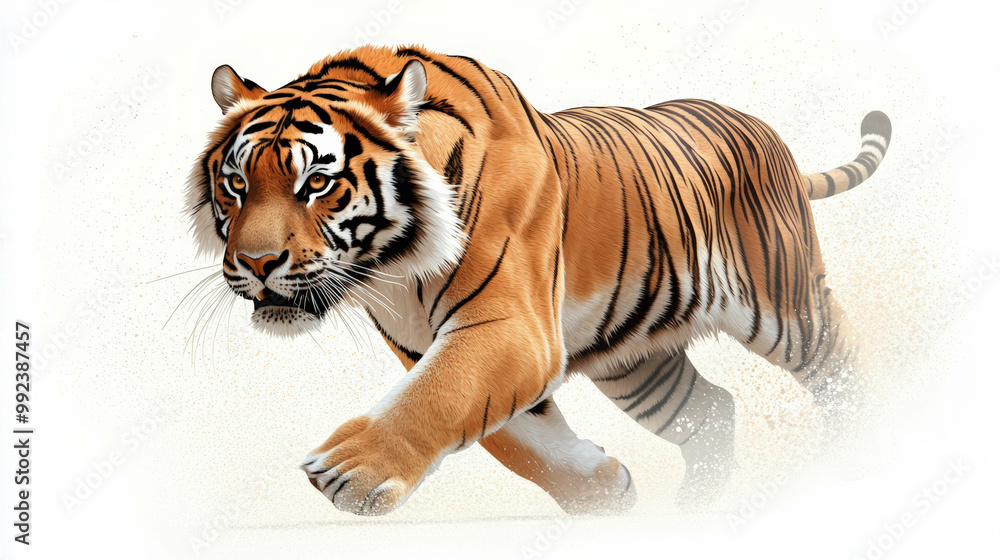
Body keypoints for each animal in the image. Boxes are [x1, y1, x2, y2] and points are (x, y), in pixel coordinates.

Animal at [186, 44, 891, 516]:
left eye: (317, 182)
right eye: (236, 183)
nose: (256, 263)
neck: (394, 269)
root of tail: (764, 129)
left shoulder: (510, 326)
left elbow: (441, 394)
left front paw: (351, 472)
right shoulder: (426, 341)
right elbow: (517, 439)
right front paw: (603, 490)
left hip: (787, 306)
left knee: (843, 363)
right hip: (636, 360)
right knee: (712, 410)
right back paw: (696, 508)